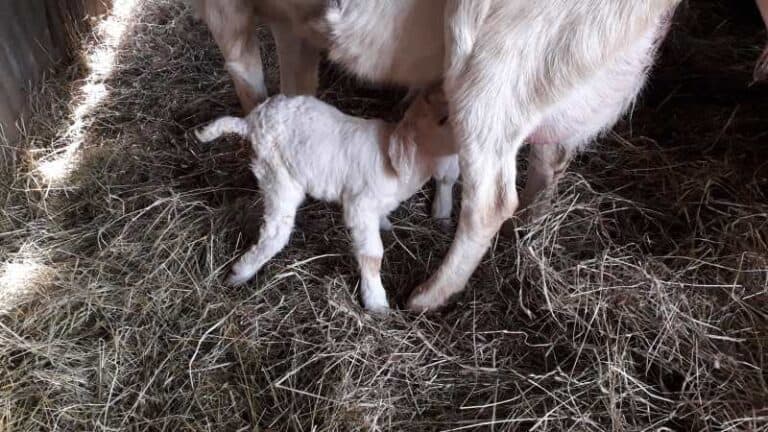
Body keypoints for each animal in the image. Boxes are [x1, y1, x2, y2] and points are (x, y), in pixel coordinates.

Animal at [194, 89, 455, 312]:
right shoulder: (359, 207)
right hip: (278, 175)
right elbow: (372, 254)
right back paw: (240, 273)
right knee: (275, 230)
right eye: (443, 120)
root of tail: (250, 121)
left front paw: (386, 225)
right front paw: (376, 302)